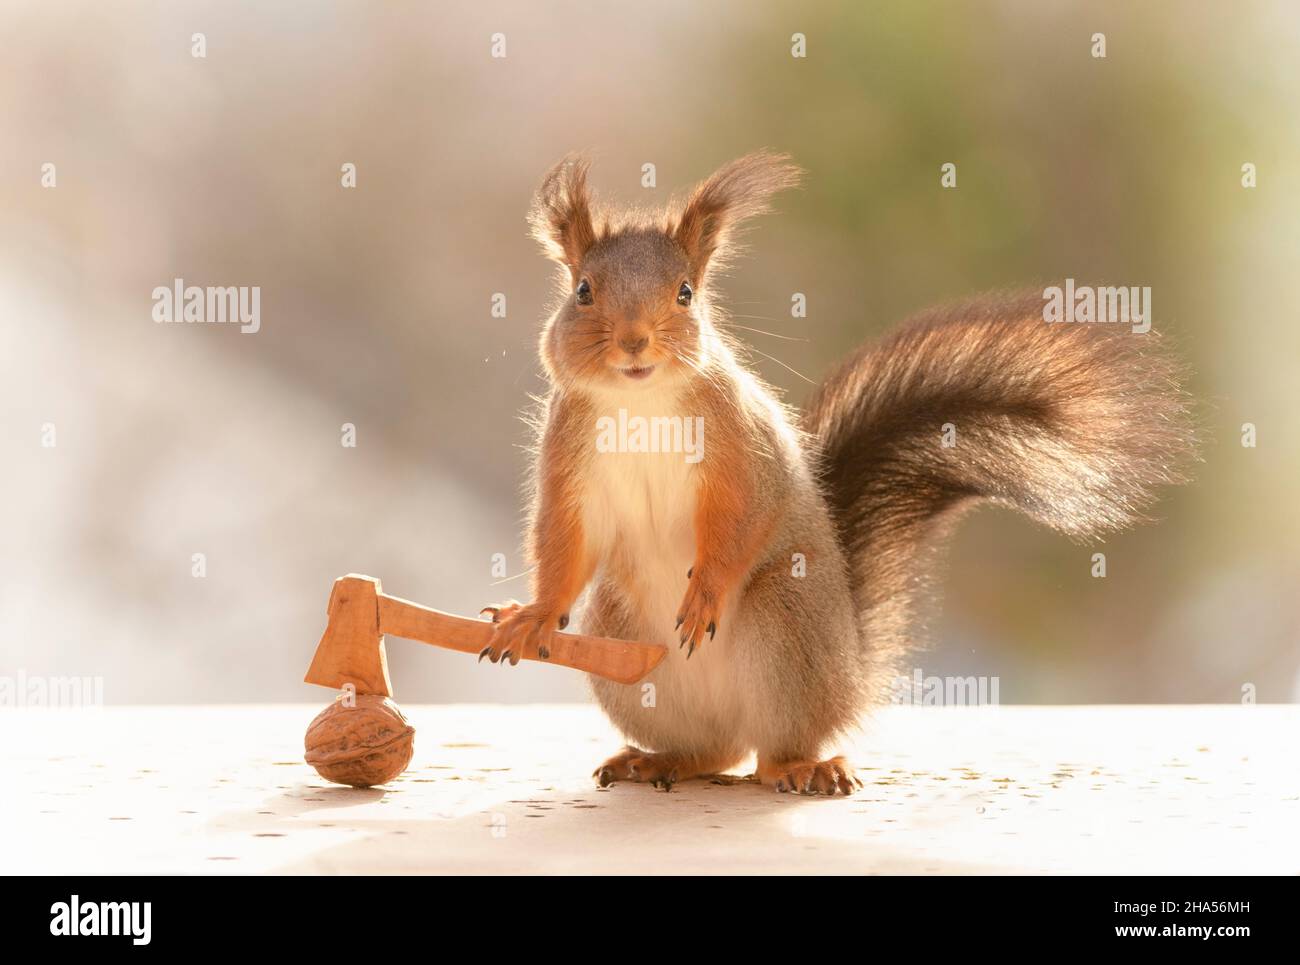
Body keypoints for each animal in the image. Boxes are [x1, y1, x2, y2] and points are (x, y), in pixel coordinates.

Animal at [480, 151, 1196, 795]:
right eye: (582, 291)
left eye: (686, 293)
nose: (634, 342)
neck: (641, 405)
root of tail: (851, 674)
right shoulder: (569, 460)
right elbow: (565, 542)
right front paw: (534, 617)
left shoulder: (745, 449)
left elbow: (746, 515)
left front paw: (706, 589)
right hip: (624, 643)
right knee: (713, 752)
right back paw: (660, 760)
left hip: (787, 624)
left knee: (771, 749)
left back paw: (801, 767)